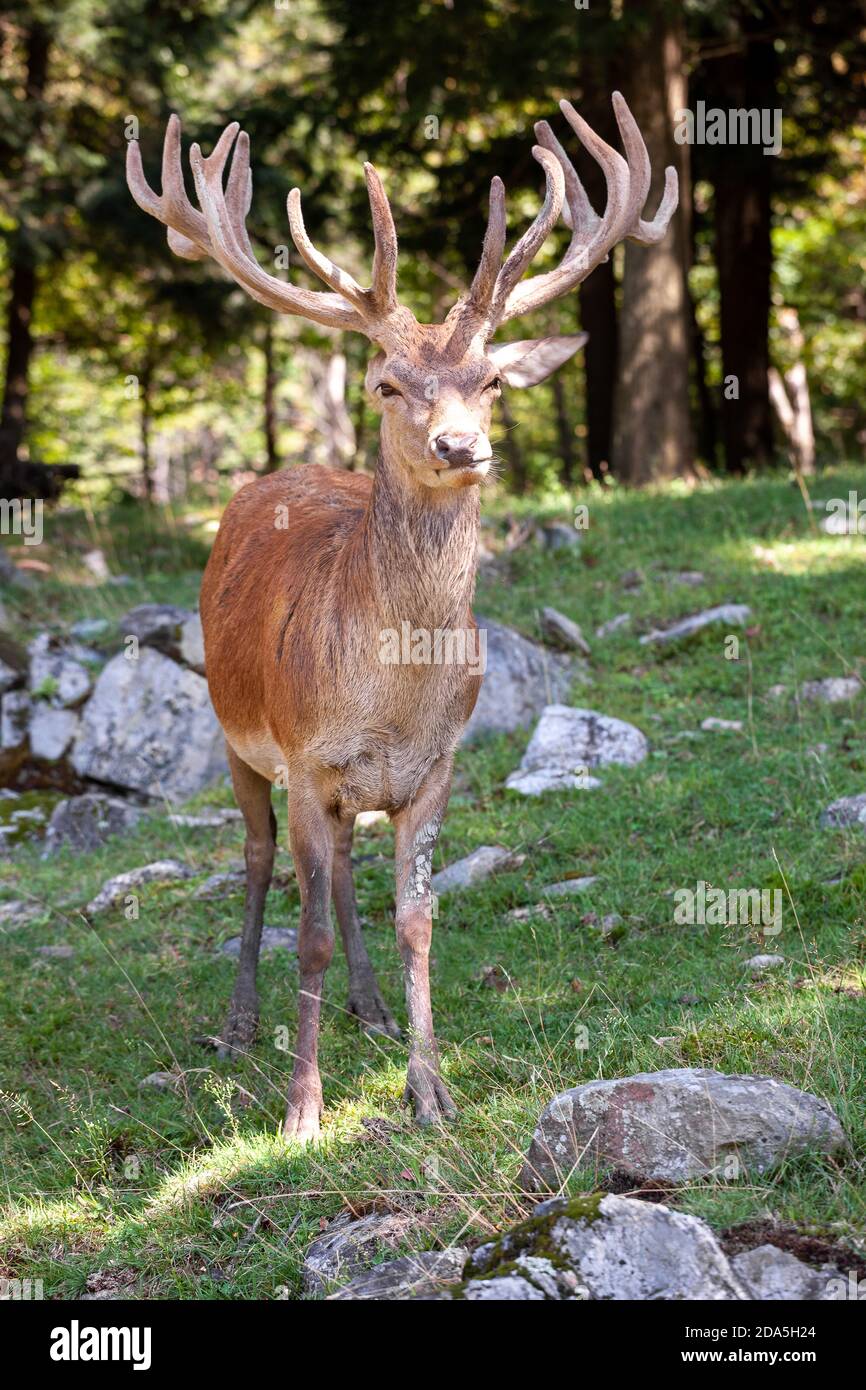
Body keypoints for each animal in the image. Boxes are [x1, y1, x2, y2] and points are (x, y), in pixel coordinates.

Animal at [126, 92, 677, 1142]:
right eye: (386, 381)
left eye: (492, 379)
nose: (460, 444)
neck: (393, 696)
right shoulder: (306, 755)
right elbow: (302, 931)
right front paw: (302, 1113)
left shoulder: (436, 764)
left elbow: (417, 920)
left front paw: (432, 1091)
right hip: (233, 731)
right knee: (258, 859)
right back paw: (240, 1024)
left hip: (345, 788)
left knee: (342, 867)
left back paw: (371, 1008)